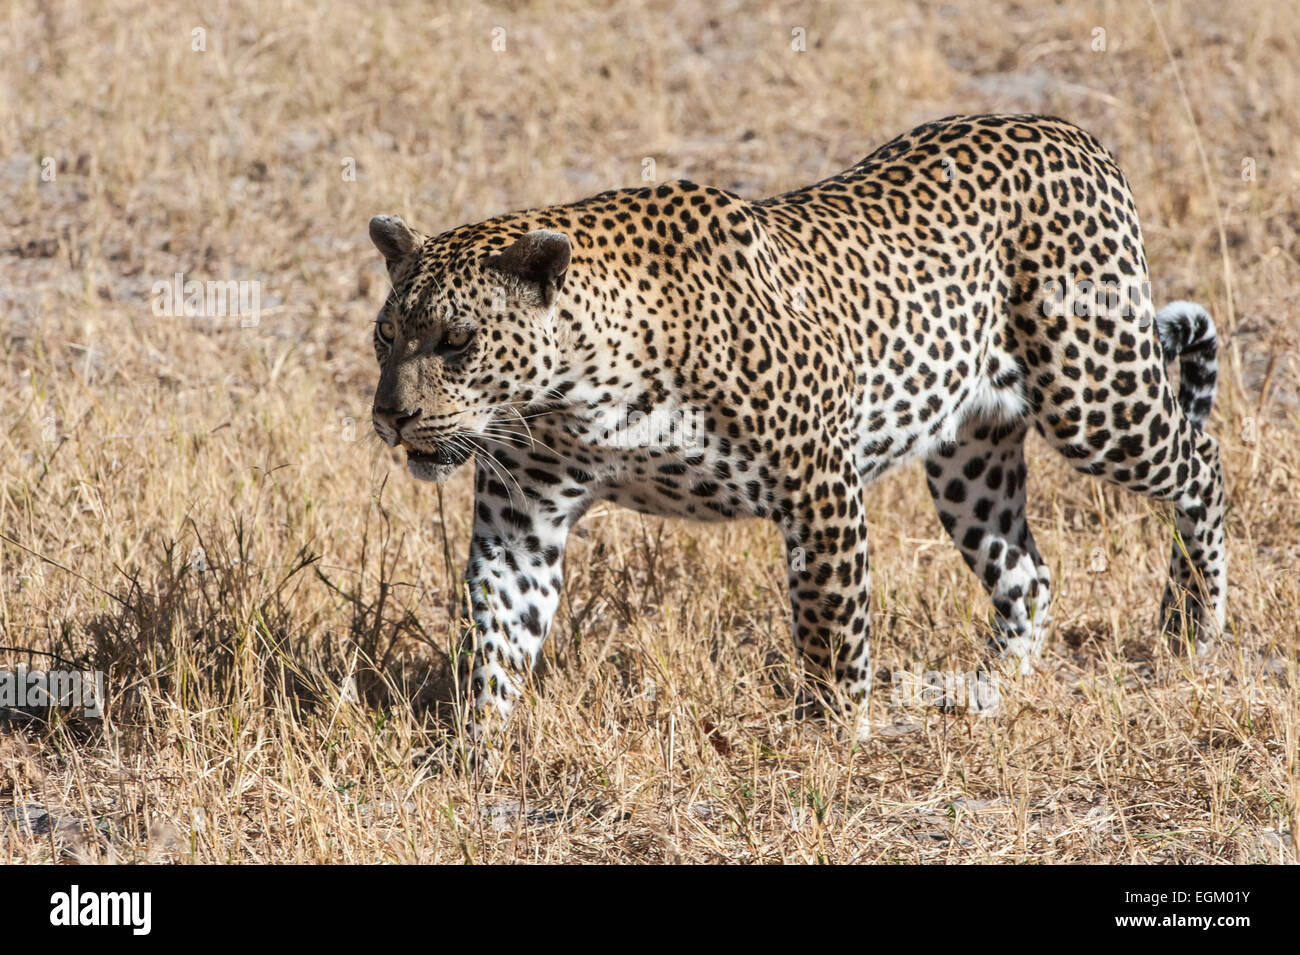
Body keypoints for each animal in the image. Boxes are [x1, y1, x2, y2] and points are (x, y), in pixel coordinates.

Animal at [365, 113, 1226, 743]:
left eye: (457, 341)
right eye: (385, 335)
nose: (388, 417)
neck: (578, 397)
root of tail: (1073, 133)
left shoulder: (818, 483)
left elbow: (830, 621)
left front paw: (834, 738)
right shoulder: (523, 515)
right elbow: (498, 626)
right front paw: (480, 745)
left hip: (1092, 395)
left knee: (1202, 462)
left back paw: (1193, 624)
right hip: (968, 454)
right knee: (1026, 570)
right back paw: (993, 685)